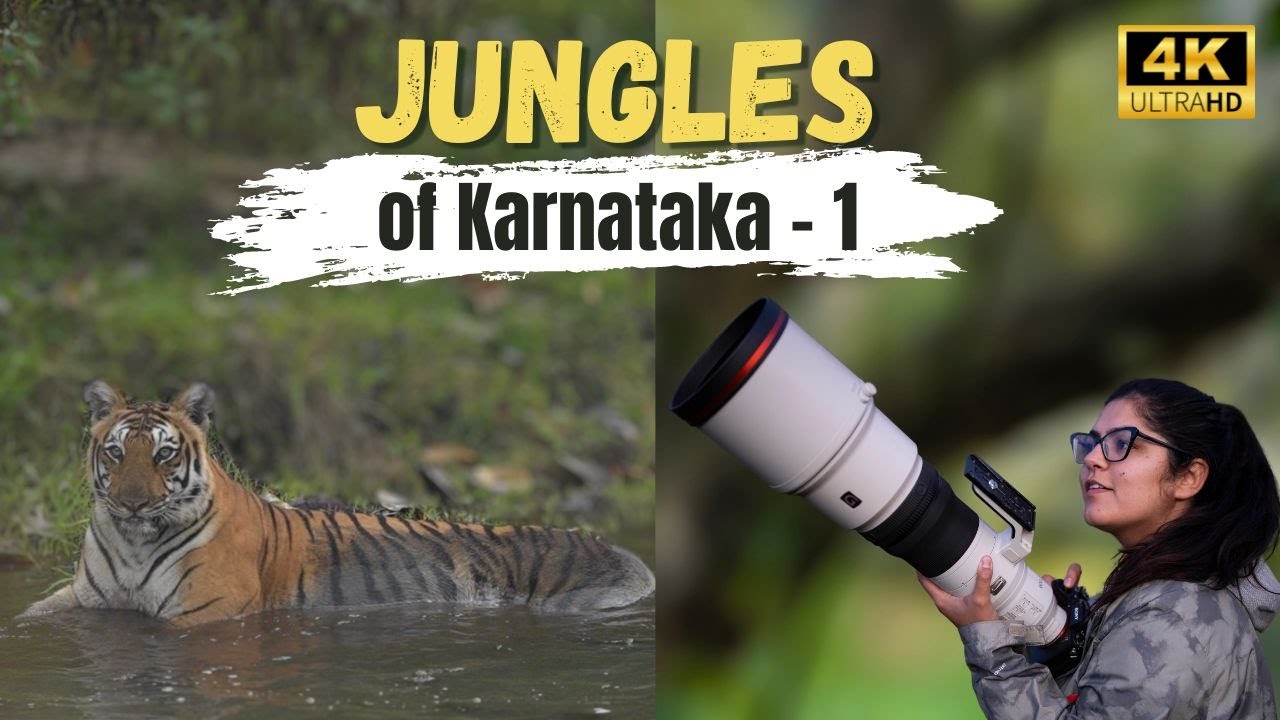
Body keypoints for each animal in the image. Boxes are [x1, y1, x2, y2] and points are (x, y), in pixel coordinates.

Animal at [21, 381, 655, 626]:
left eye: (163, 455)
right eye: (116, 453)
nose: (130, 504)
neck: (133, 542)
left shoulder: (203, 614)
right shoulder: (86, 599)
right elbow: (29, 617)